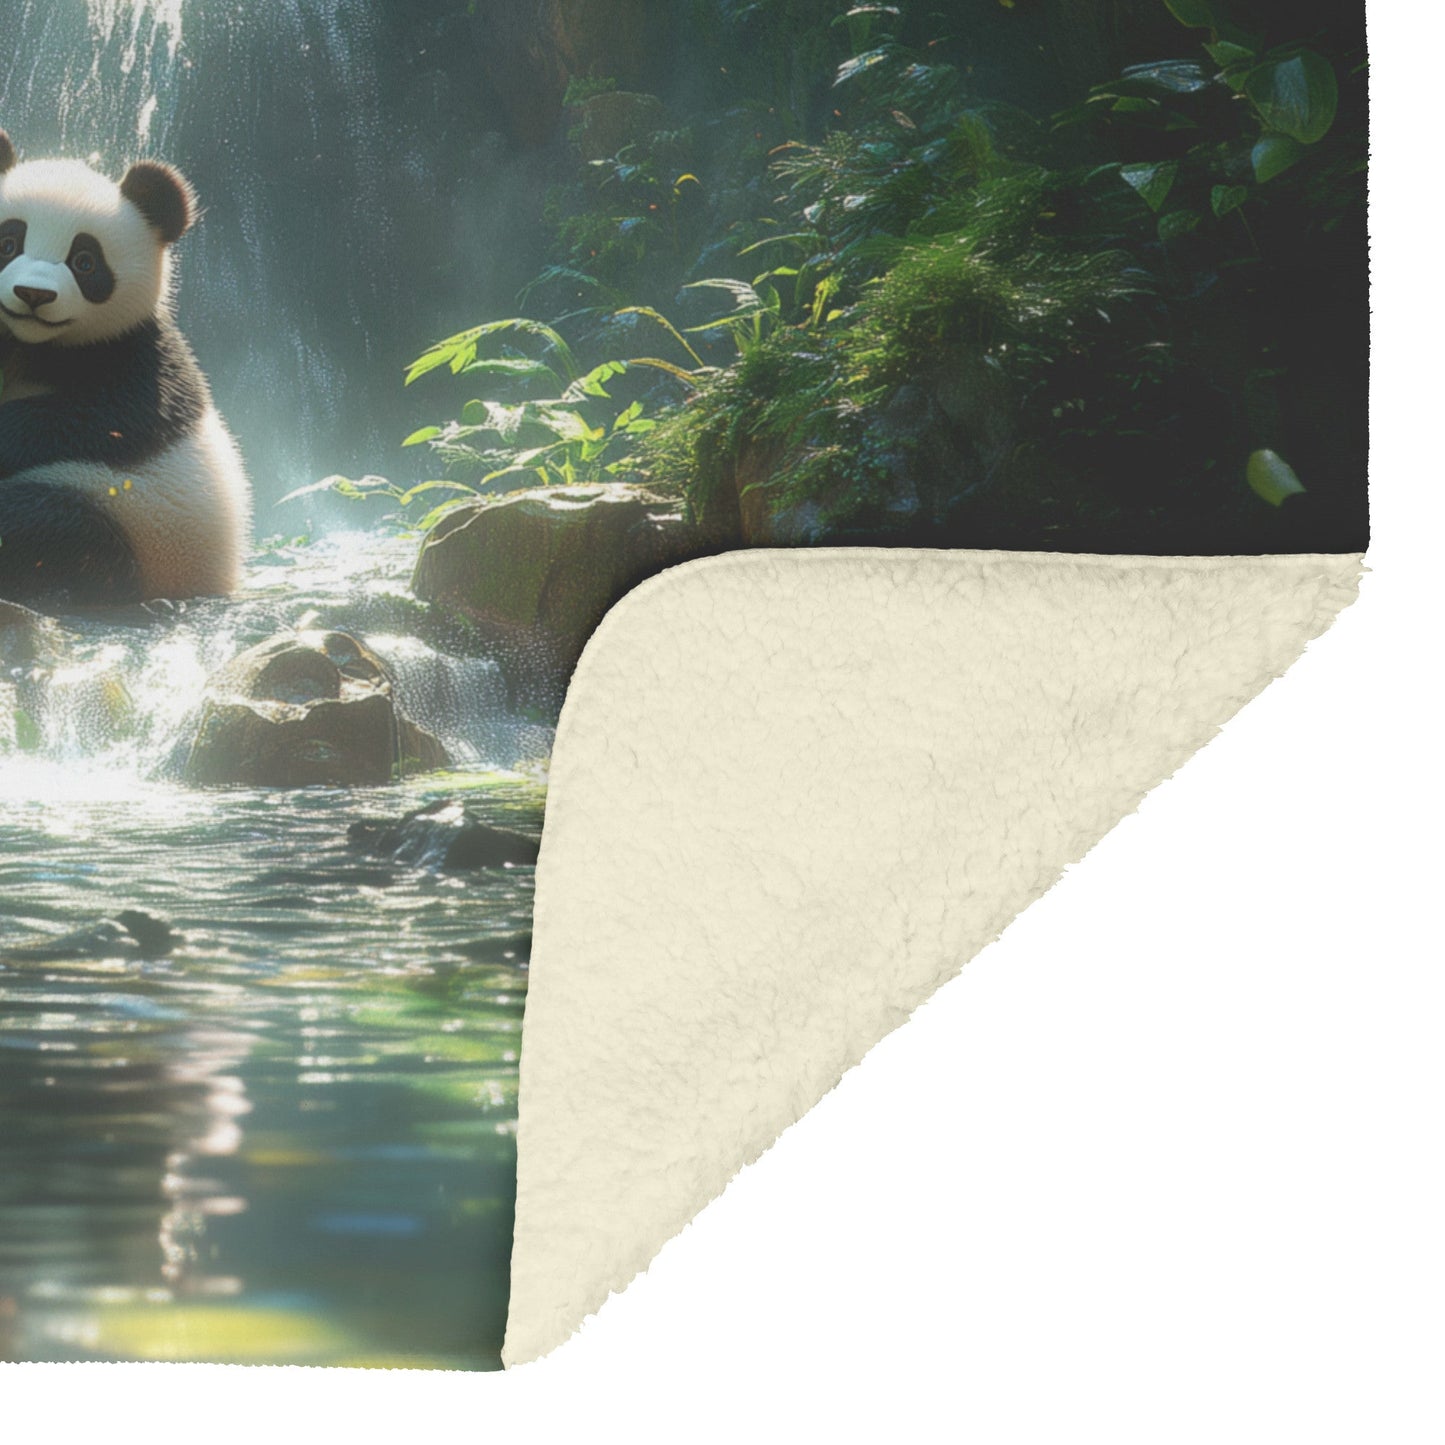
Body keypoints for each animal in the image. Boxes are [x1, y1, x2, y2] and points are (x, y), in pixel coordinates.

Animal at [0, 129, 251, 607]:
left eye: (85, 262)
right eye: (8, 244)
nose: (33, 294)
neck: (28, 344)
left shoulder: (142, 355)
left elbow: (101, 416)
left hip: (134, 525)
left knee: (44, 523)